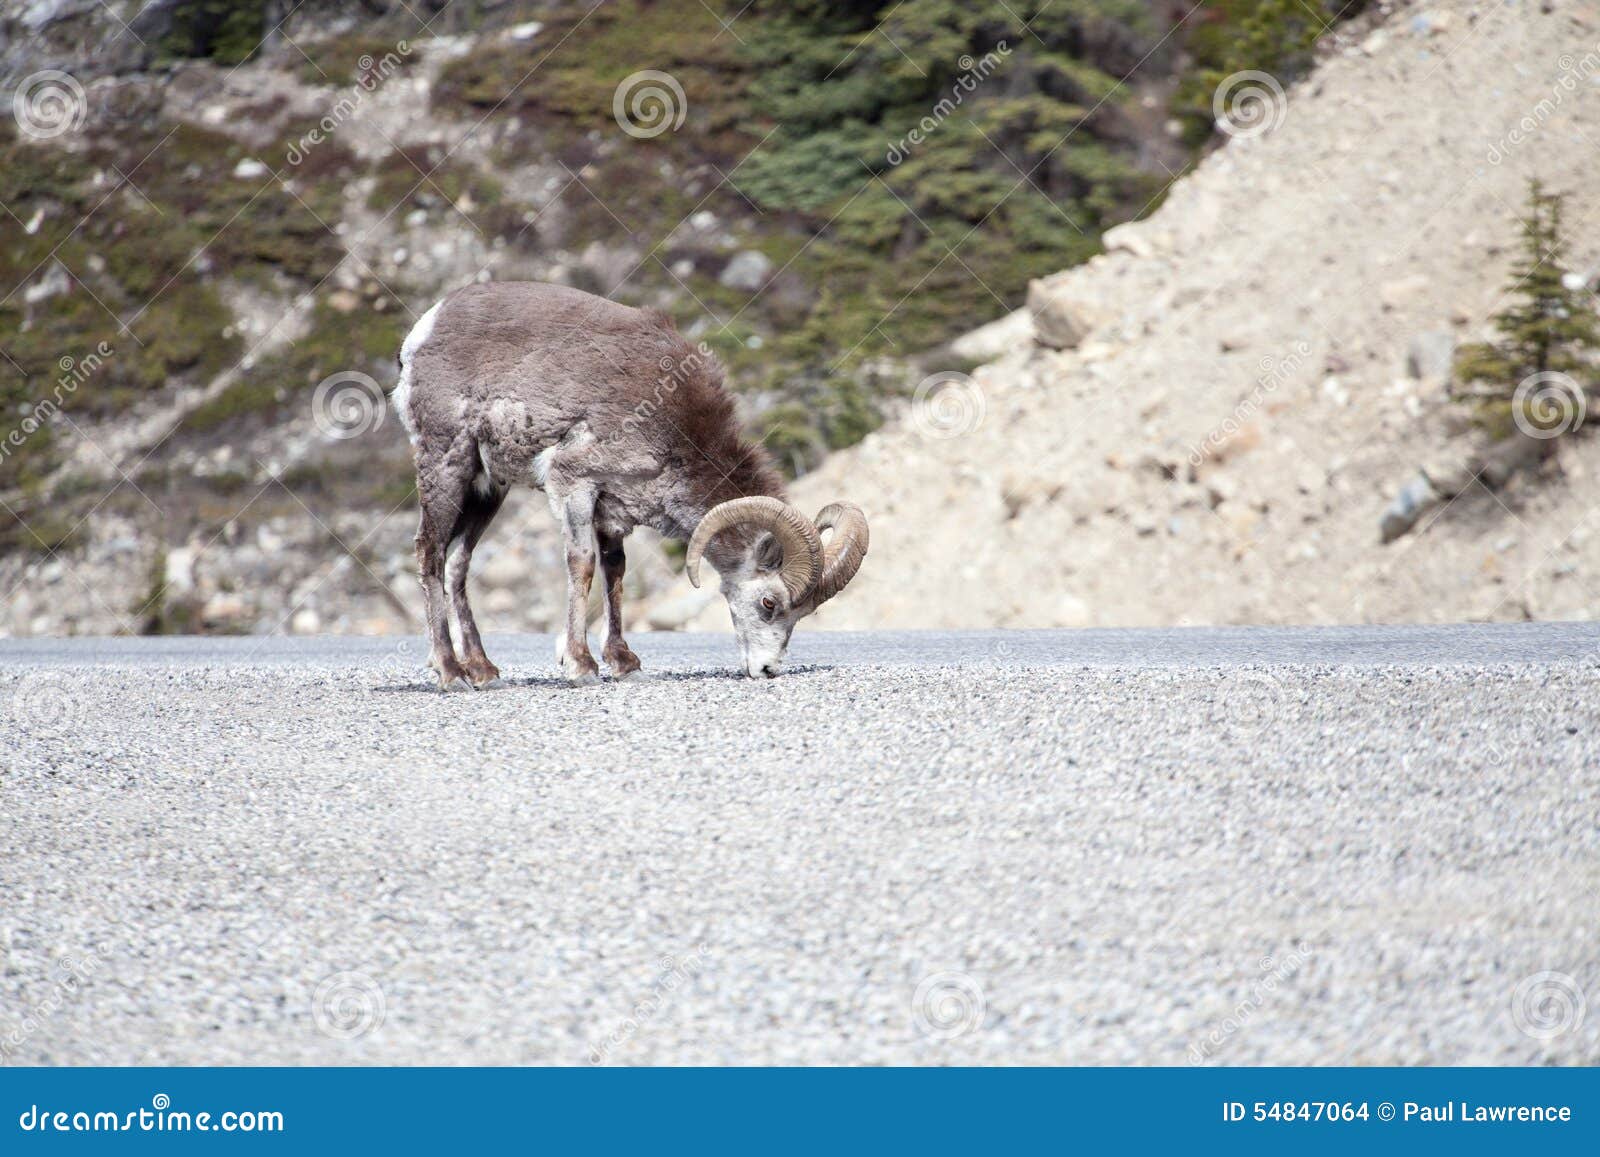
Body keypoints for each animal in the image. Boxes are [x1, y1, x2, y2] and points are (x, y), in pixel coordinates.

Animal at [392, 281, 869, 688]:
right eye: (769, 604)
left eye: (801, 614)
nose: (768, 670)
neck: (672, 428)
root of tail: (423, 332)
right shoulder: (573, 483)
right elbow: (583, 565)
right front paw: (581, 666)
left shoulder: (612, 509)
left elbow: (615, 571)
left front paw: (624, 664)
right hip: (447, 464)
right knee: (430, 552)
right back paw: (451, 672)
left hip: (489, 486)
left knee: (458, 562)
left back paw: (484, 671)